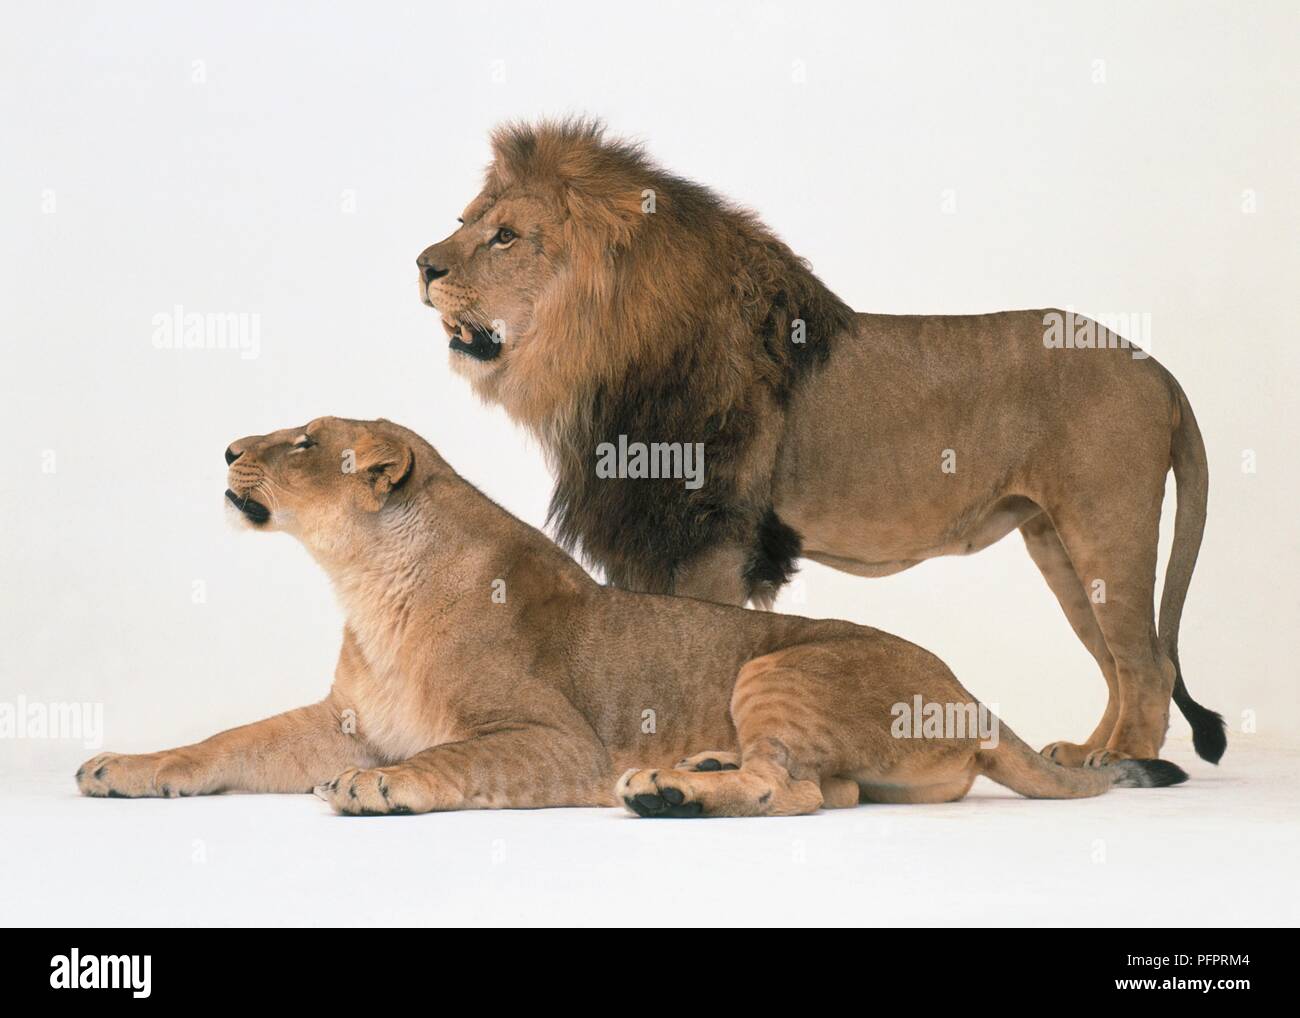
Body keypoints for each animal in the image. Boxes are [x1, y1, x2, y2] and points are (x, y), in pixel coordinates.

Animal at [76, 417, 1187, 815]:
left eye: (305, 441)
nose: (228, 449)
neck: (369, 588)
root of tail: (971, 693)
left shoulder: (557, 741)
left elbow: (448, 758)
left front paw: (379, 787)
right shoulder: (340, 717)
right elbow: (227, 740)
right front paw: (125, 767)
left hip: (777, 665)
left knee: (792, 791)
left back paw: (666, 788)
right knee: (823, 791)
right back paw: (694, 773)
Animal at [416, 118, 1225, 770]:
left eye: (505, 236)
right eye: (463, 221)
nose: (422, 265)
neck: (604, 361)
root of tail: (1157, 368)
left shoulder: (711, 539)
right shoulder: (650, 540)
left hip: (1105, 529)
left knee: (1147, 663)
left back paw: (1124, 764)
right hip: (1057, 544)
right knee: (1121, 663)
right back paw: (1089, 752)